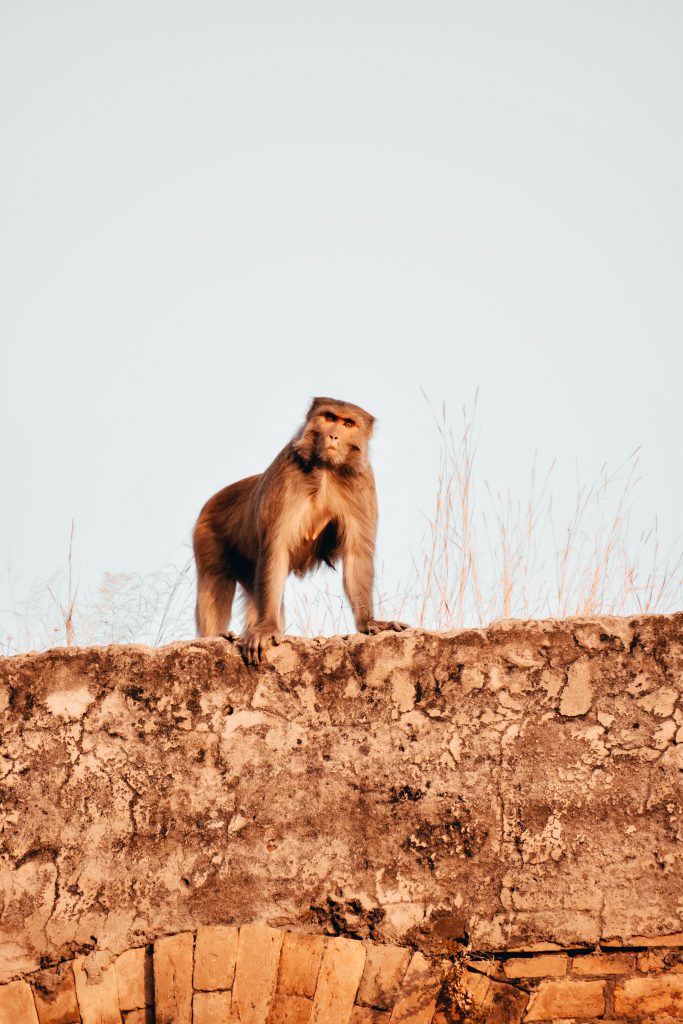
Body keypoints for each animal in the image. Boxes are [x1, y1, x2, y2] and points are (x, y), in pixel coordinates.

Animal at [193, 397, 408, 664]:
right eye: (330, 418)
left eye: (348, 423)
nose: (334, 436)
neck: (327, 470)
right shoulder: (286, 472)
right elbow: (276, 548)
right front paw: (267, 627)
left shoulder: (362, 482)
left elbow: (356, 554)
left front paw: (370, 622)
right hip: (206, 534)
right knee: (216, 580)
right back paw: (218, 635)